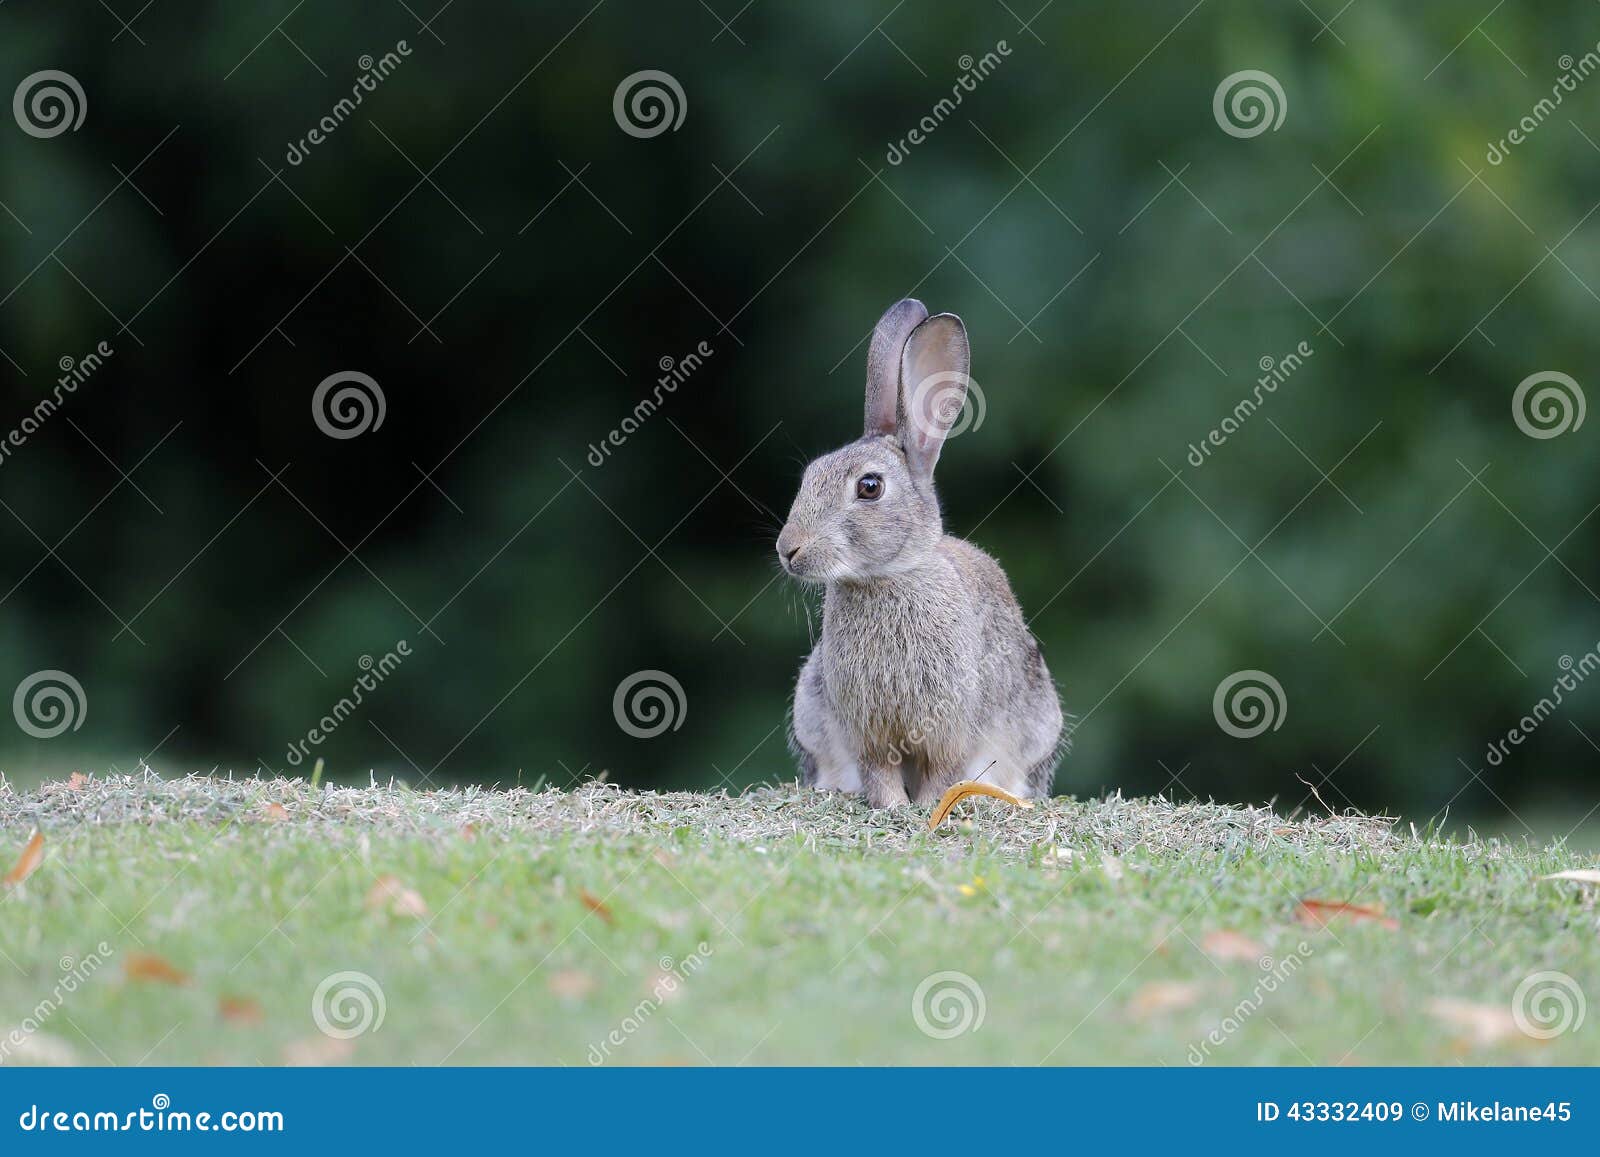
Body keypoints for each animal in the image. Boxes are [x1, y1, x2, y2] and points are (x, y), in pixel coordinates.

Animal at [778, 298, 1065, 808]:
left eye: (869, 487)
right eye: (811, 474)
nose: (787, 549)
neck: (888, 577)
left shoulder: (948, 726)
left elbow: (941, 770)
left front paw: (928, 804)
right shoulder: (868, 730)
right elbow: (878, 769)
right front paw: (892, 806)